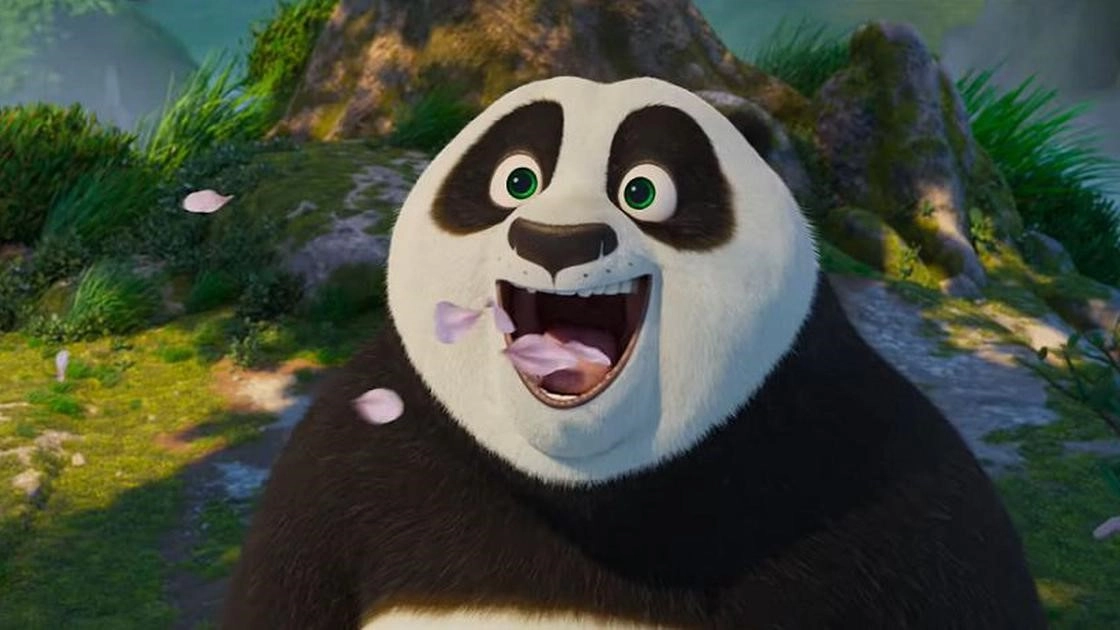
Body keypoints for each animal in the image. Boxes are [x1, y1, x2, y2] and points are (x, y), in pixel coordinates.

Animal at [221, 76, 1046, 629]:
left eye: (643, 190)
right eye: (517, 179)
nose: (556, 243)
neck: (587, 488)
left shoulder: (883, 478)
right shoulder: (348, 466)